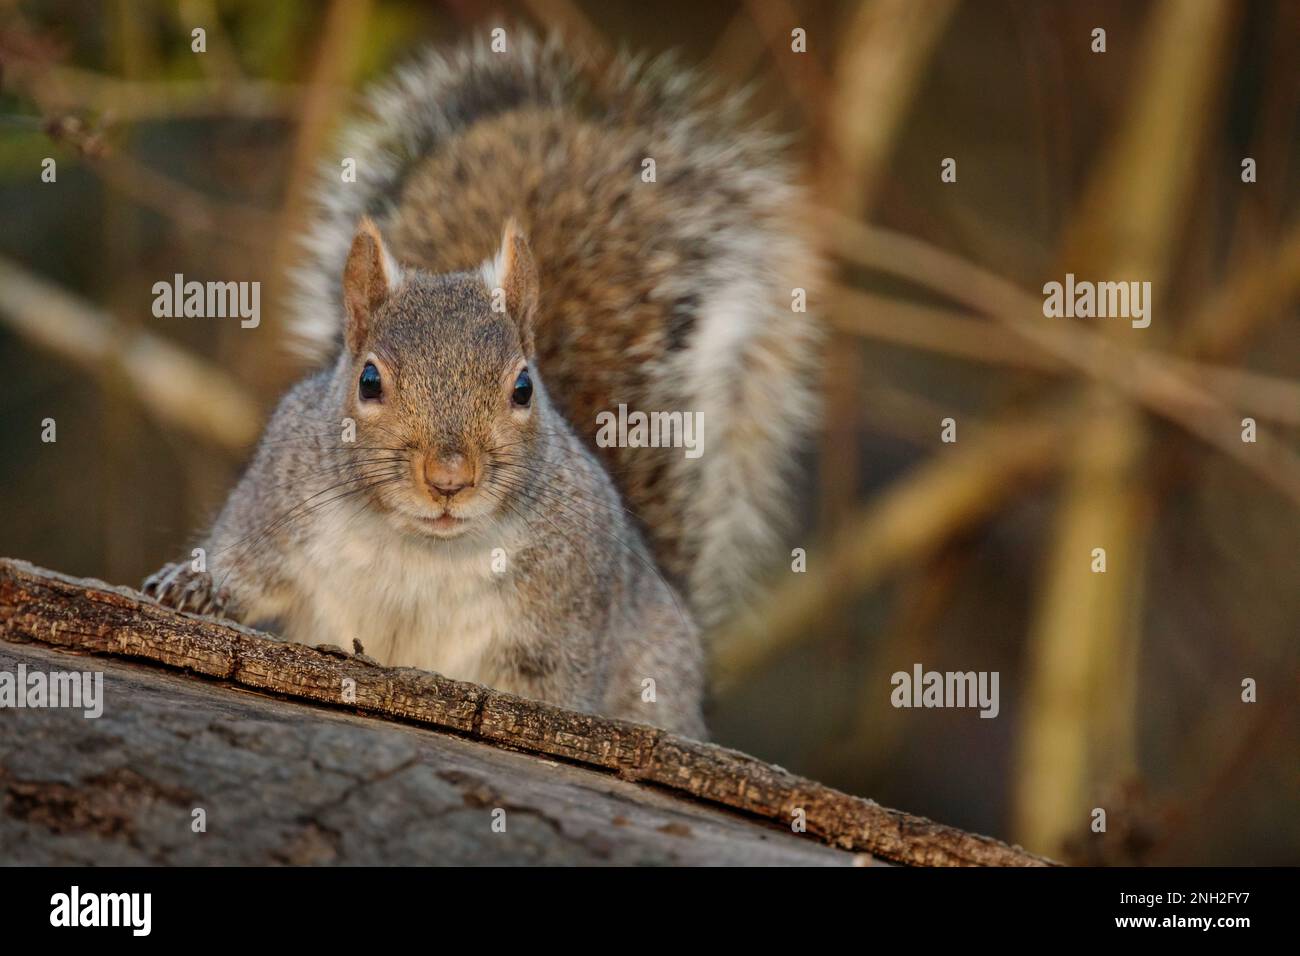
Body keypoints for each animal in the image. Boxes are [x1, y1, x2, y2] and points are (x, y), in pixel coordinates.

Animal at [143, 32, 820, 739]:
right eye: (368, 380)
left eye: (524, 389)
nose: (449, 479)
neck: (420, 548)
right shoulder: (276, 499)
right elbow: (244, 567)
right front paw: (193, 587)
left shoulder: (565, 621)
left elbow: (554, 692)